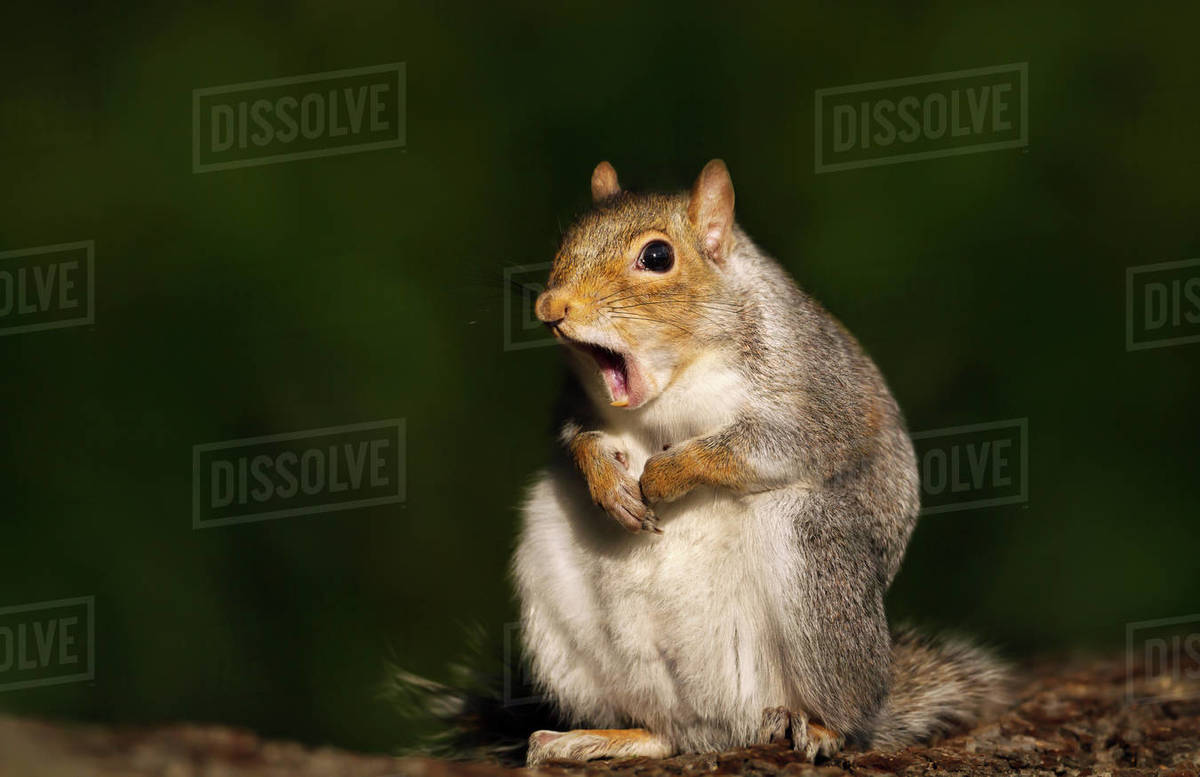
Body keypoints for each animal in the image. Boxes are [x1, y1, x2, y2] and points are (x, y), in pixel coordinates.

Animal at [512, 160, 1011, 766]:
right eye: (566, 240)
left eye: (656, 256)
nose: (550, 307)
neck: (673, 383)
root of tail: (723, 726)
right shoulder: (574, 402)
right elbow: (576, 437)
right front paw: (608, 481)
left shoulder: (814, 400)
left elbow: (762, 446)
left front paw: (665, 475)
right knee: (664, 733)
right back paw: (599, 737)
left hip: (813, 554)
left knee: (848, 716)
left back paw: (820, 727)